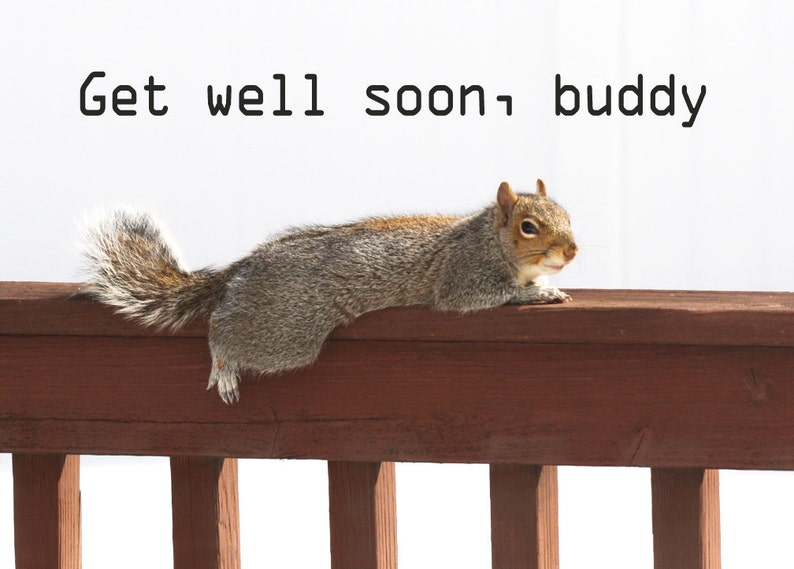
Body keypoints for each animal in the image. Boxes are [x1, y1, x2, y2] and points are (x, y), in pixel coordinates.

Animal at [83, 179, 577, 403]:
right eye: (528, 227)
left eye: (568, 215)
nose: (571, 251)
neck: (488, 238)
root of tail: (245, 267)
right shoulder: (464, 276)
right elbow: (480, 296)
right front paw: (538, 295)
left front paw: (544, 285)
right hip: (287, 330)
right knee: (224, 331)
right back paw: (223, 363)